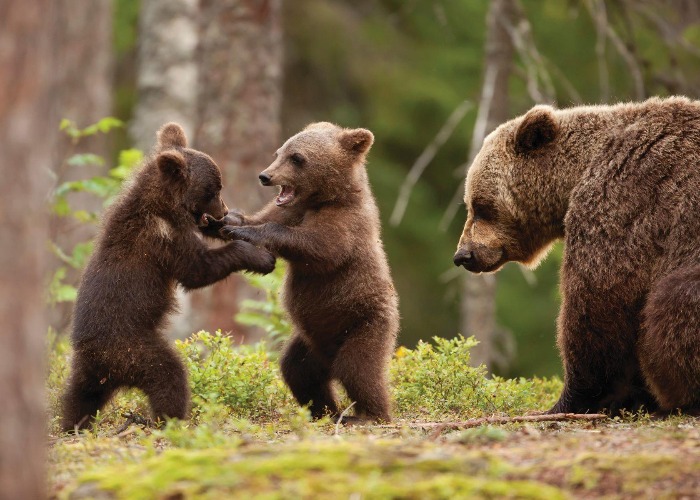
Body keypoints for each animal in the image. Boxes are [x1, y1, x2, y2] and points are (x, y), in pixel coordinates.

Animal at [60, 123, 276, 432]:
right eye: (215, 189)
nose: (223, 210)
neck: (164, 206)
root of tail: (101, 362)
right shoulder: (163, 240)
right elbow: (197, 270)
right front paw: (259, 257)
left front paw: (233, 224)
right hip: (133, 349)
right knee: (168, 375)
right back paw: (170, 419)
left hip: (89, 371)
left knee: (79, 396)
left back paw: (72, 424)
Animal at [215, 122, 399, 422]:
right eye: (279, 152)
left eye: (297, 158)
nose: (265, 176)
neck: (323, 199)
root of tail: (328, 358)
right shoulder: (290, 209)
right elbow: (262, 218)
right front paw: (226, 220)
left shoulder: (346, 223)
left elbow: (321, 248)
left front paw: (248, 232)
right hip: (310, 343)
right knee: (298, 371)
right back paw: (324, 411)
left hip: (365, 323)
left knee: (358, 368)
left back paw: (369, 414)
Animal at [453, 96, 700, 415]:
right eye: (470, 203)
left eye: (481, 206)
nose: (463, 255)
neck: (576, 175)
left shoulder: (625, 200)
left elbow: (598, 300)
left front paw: (571, 400)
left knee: (673, 301)